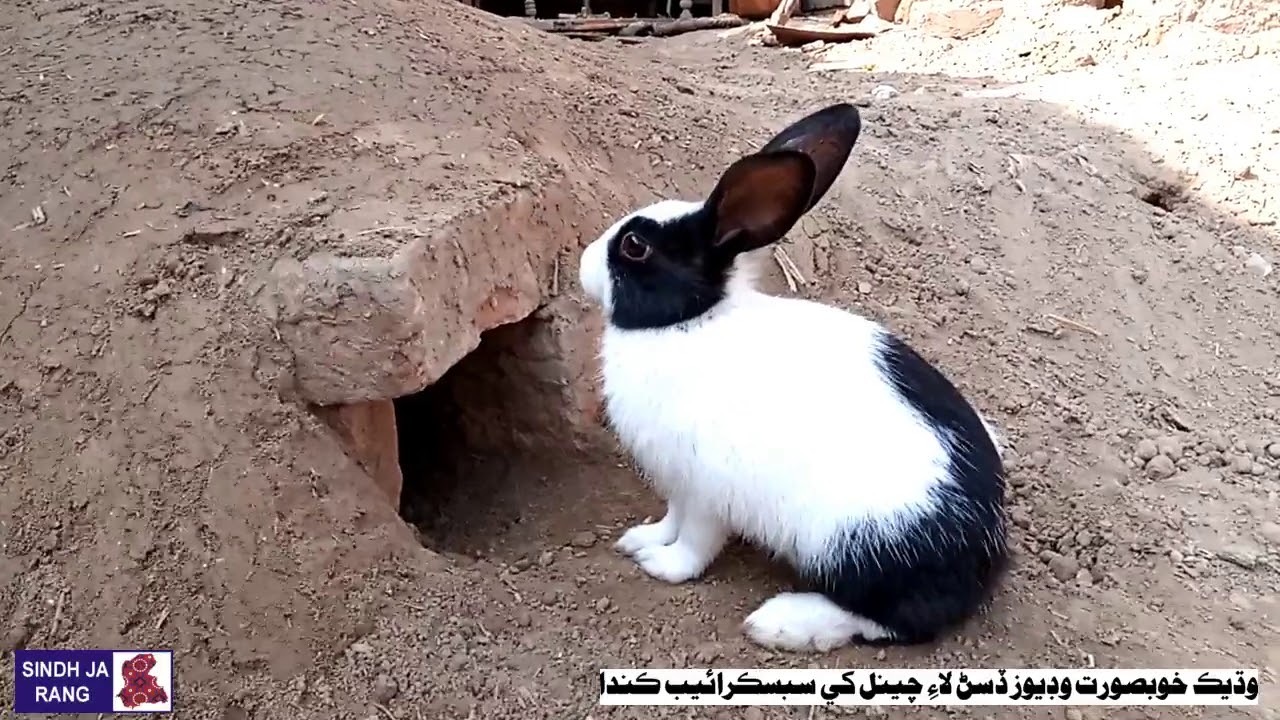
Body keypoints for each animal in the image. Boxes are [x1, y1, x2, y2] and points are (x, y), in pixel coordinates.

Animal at [576, 102, 1008, 652]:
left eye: (634, 247)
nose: (583, 262)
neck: (691, 321)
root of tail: (983, 556)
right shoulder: (678, 482)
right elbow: (671, 518)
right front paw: (641, 540)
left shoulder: (707, 490)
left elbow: (695, 542)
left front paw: (662, 565)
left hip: (856, 547)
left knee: (894, 620)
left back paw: (784, 623)